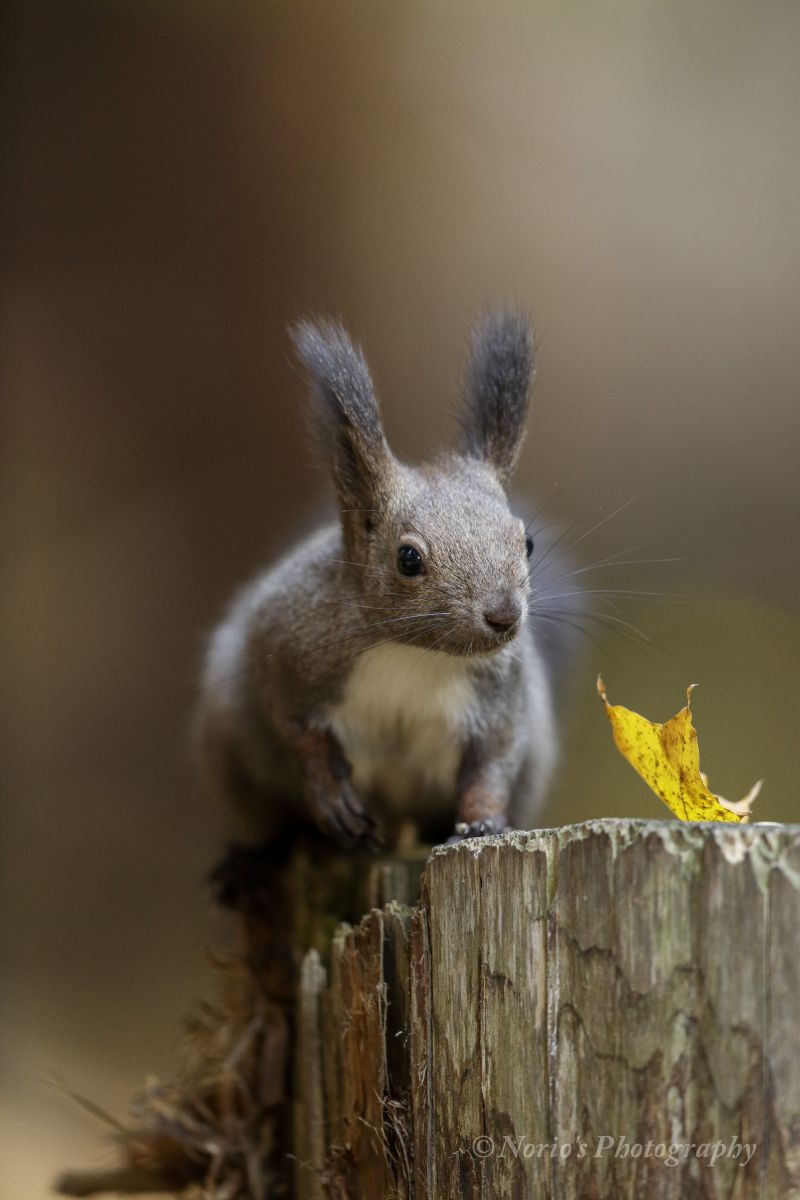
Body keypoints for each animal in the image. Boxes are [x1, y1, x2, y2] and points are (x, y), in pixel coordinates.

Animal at [195, 306, 562, 853]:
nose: (503, 616)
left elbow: (493, 760)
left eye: (528, 543)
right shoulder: (284, 643)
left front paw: (483, 822)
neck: (413, 651)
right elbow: (294, 725)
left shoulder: (501, 691)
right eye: (408, 559)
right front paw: (331, 795)